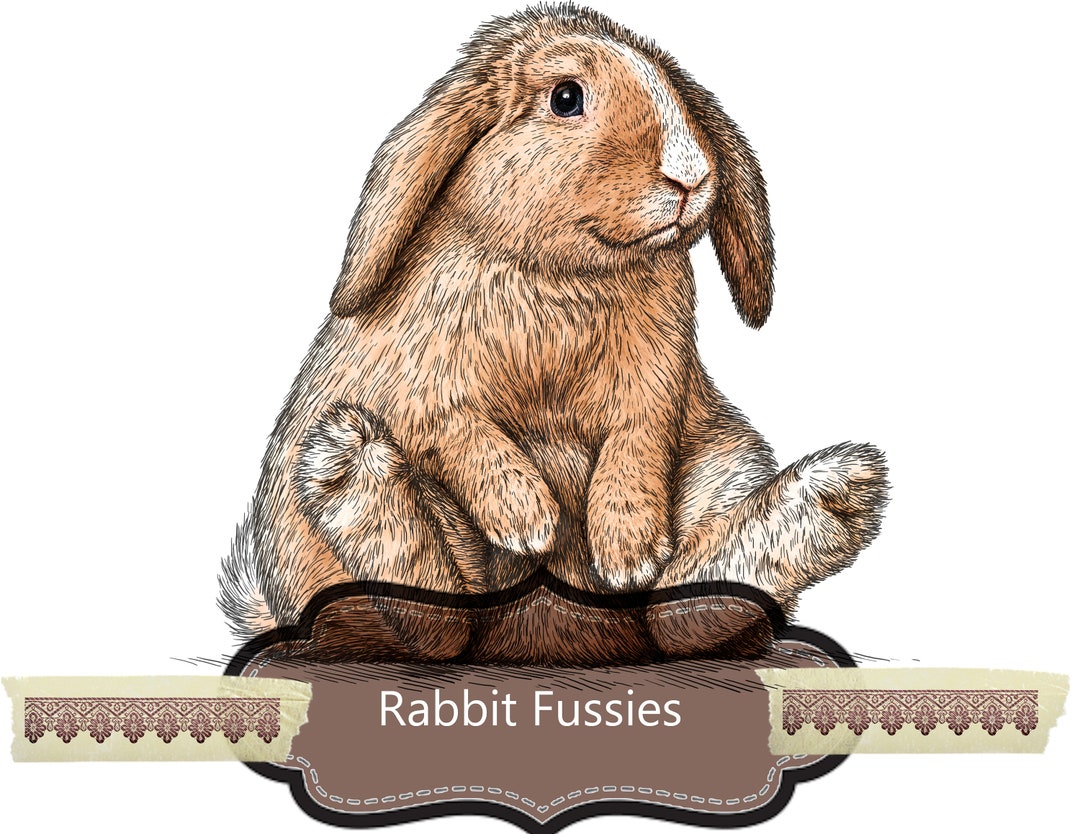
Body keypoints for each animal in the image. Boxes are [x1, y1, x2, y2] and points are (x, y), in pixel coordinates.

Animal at [219, 3, 888, 654]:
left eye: (672, 89)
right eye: (566, 98)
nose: (691, 175)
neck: (561, 277)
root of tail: (549, 629)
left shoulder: (655, 378)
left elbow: (637, 440)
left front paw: (626, 552)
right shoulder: (418, 381)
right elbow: (458, 427)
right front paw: (528, 517)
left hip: (725, 464)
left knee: (679, 608)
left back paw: (836, 495)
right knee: (431, 621)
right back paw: (347, 470)